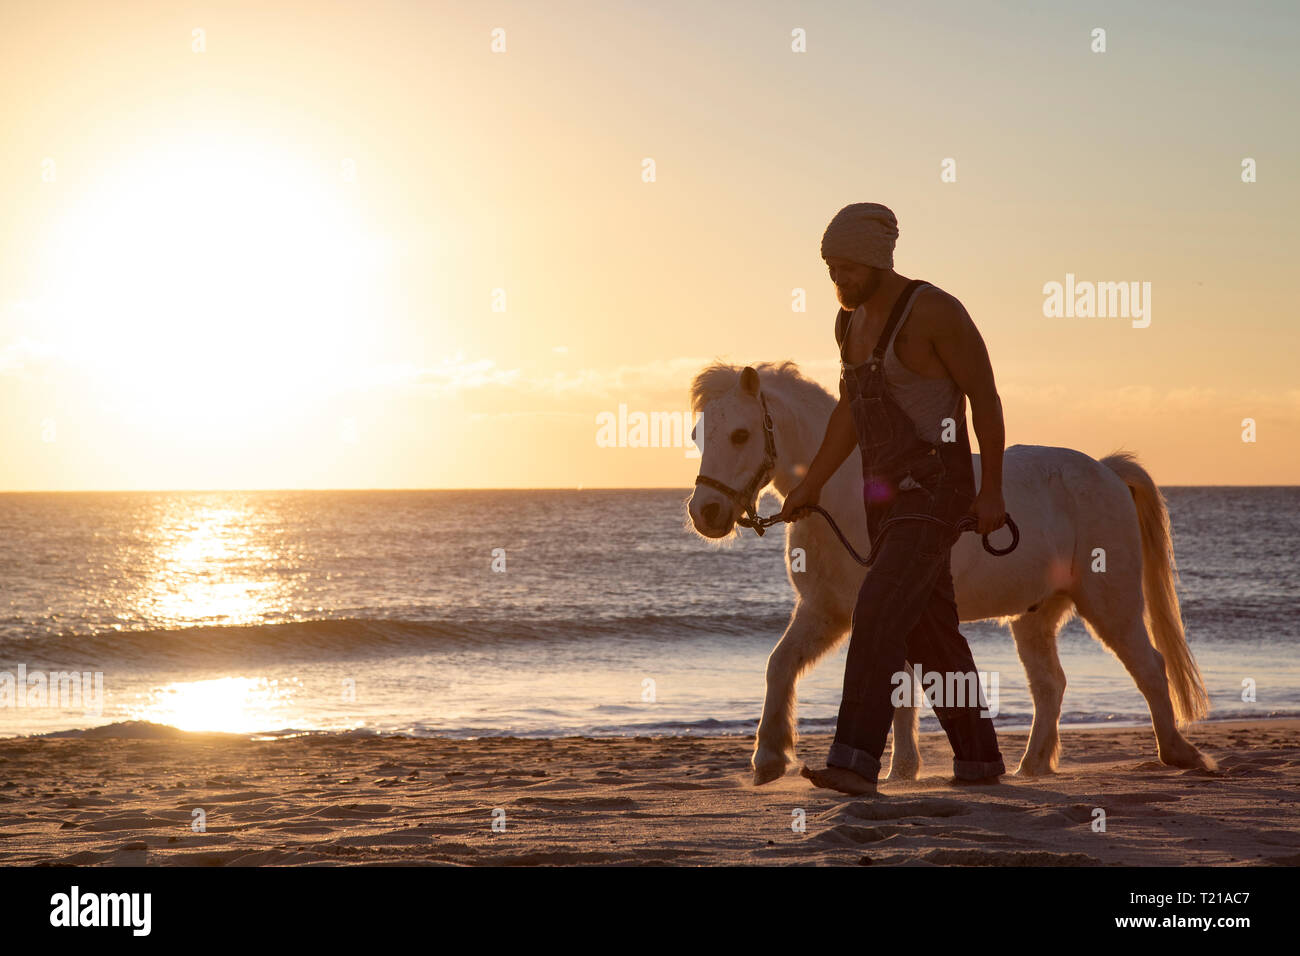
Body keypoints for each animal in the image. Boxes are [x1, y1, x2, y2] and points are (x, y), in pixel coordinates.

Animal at [685, 361, 1215, 784]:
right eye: (697, 435)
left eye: (740, 434)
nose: (705, 512)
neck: (846, 496)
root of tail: (1107, 472)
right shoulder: (826, 612)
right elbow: (781, 665)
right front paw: (770, 759)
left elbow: (895, 691)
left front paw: (895, 770)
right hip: (1035, 618)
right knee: (1051, 685)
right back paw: (1031, 766)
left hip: (1111, 605)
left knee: (1150, 667)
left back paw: (1178, 753)